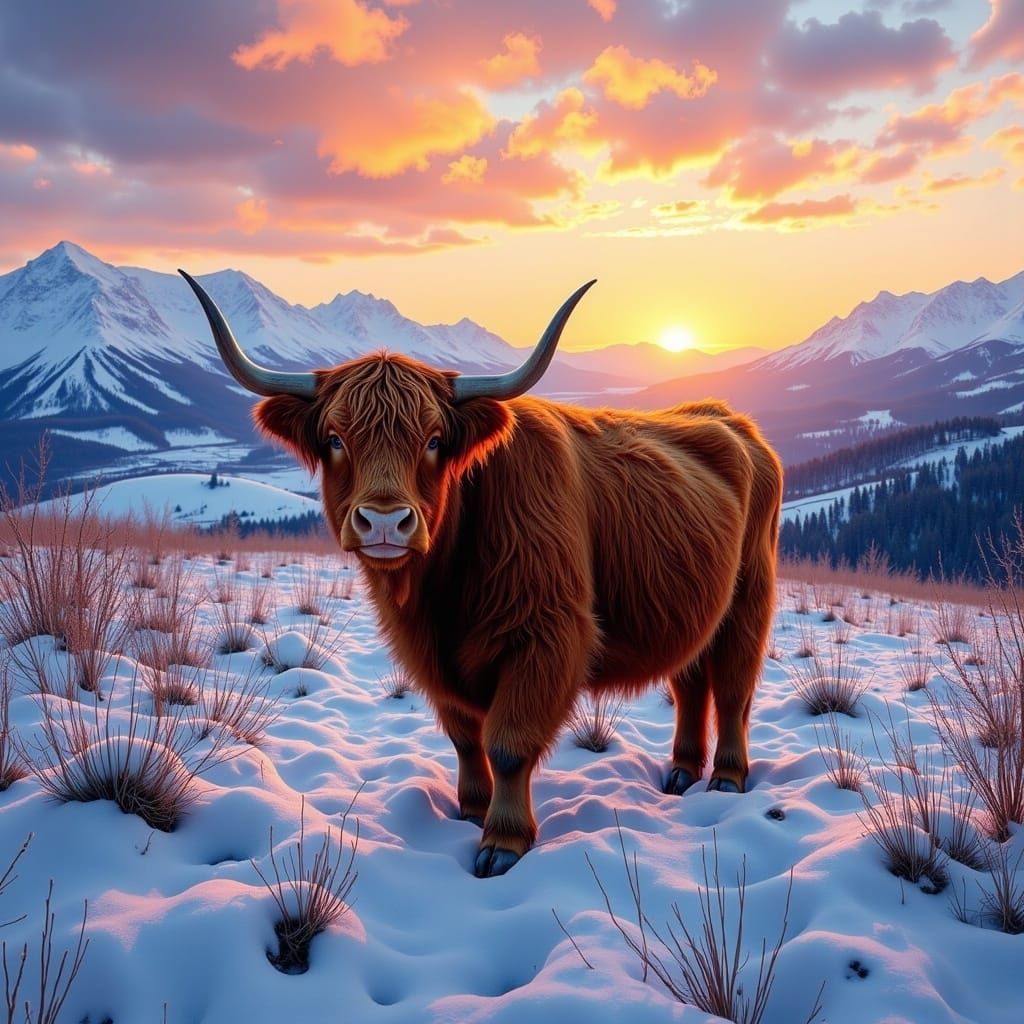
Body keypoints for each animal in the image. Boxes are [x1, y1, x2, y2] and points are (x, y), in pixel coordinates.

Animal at [180, 271, 784, 877]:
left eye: (433, 440)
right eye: (334, 438)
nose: (384, 521)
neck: (443, 590)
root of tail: (724, 417)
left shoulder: (546, 638)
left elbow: (508, 743)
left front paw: (503, 841)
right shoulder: (425, 651)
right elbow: (463, 736)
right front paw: (472, 809)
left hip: (750, 597)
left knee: (733, 687)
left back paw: (727, 778)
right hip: (694, 610)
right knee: (690, 683)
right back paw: (681, 772)